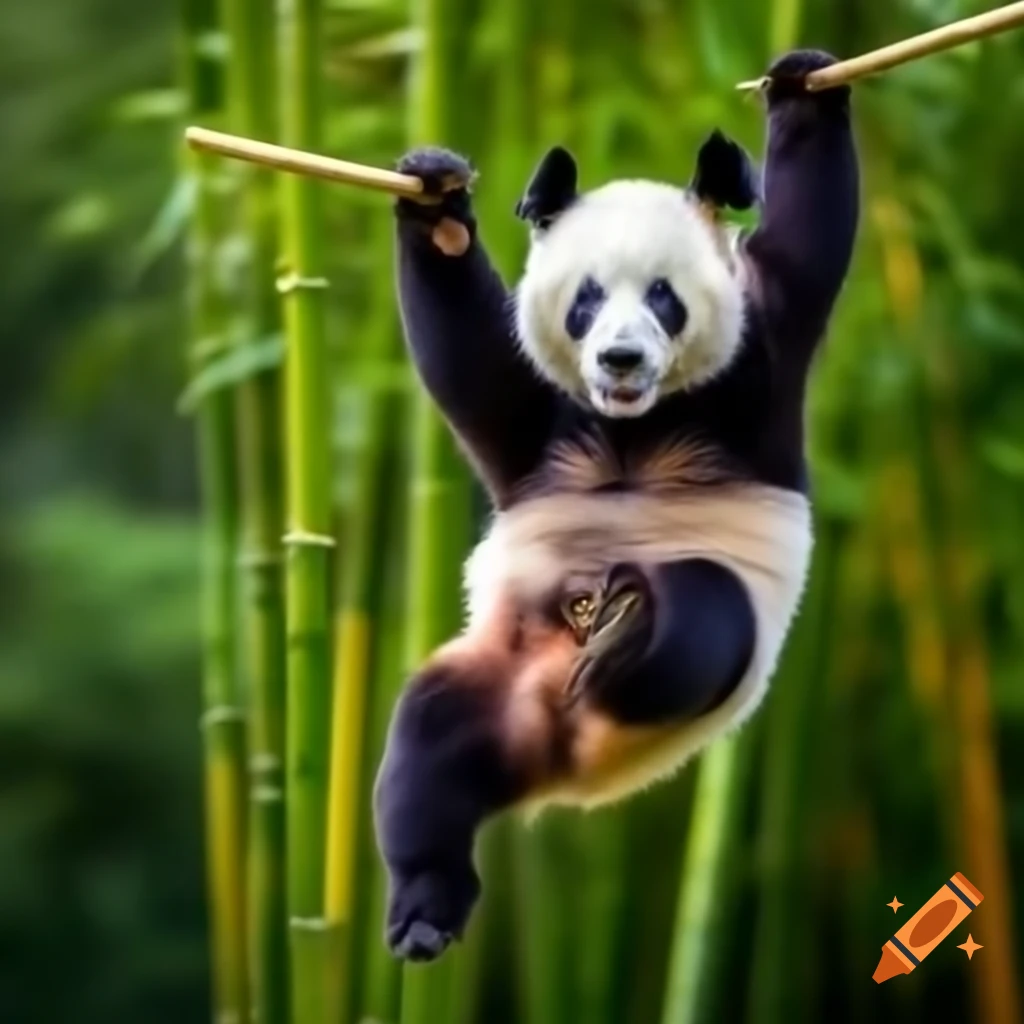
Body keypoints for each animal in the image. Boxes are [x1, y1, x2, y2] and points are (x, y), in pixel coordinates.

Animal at [373, 49, 859, 962]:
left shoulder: (761, 358)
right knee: (429, 746)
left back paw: (627, 631)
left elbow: (808, 243)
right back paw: (424, 911)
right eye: (587, 299)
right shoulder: (544, 422)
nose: (622, 358)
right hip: (490, 677)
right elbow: (474, 366)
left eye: (664, 295)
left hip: (711, 639)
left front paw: (802, 83)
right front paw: (435, 197)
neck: (635, 423)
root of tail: (566, 753)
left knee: (704, 617)